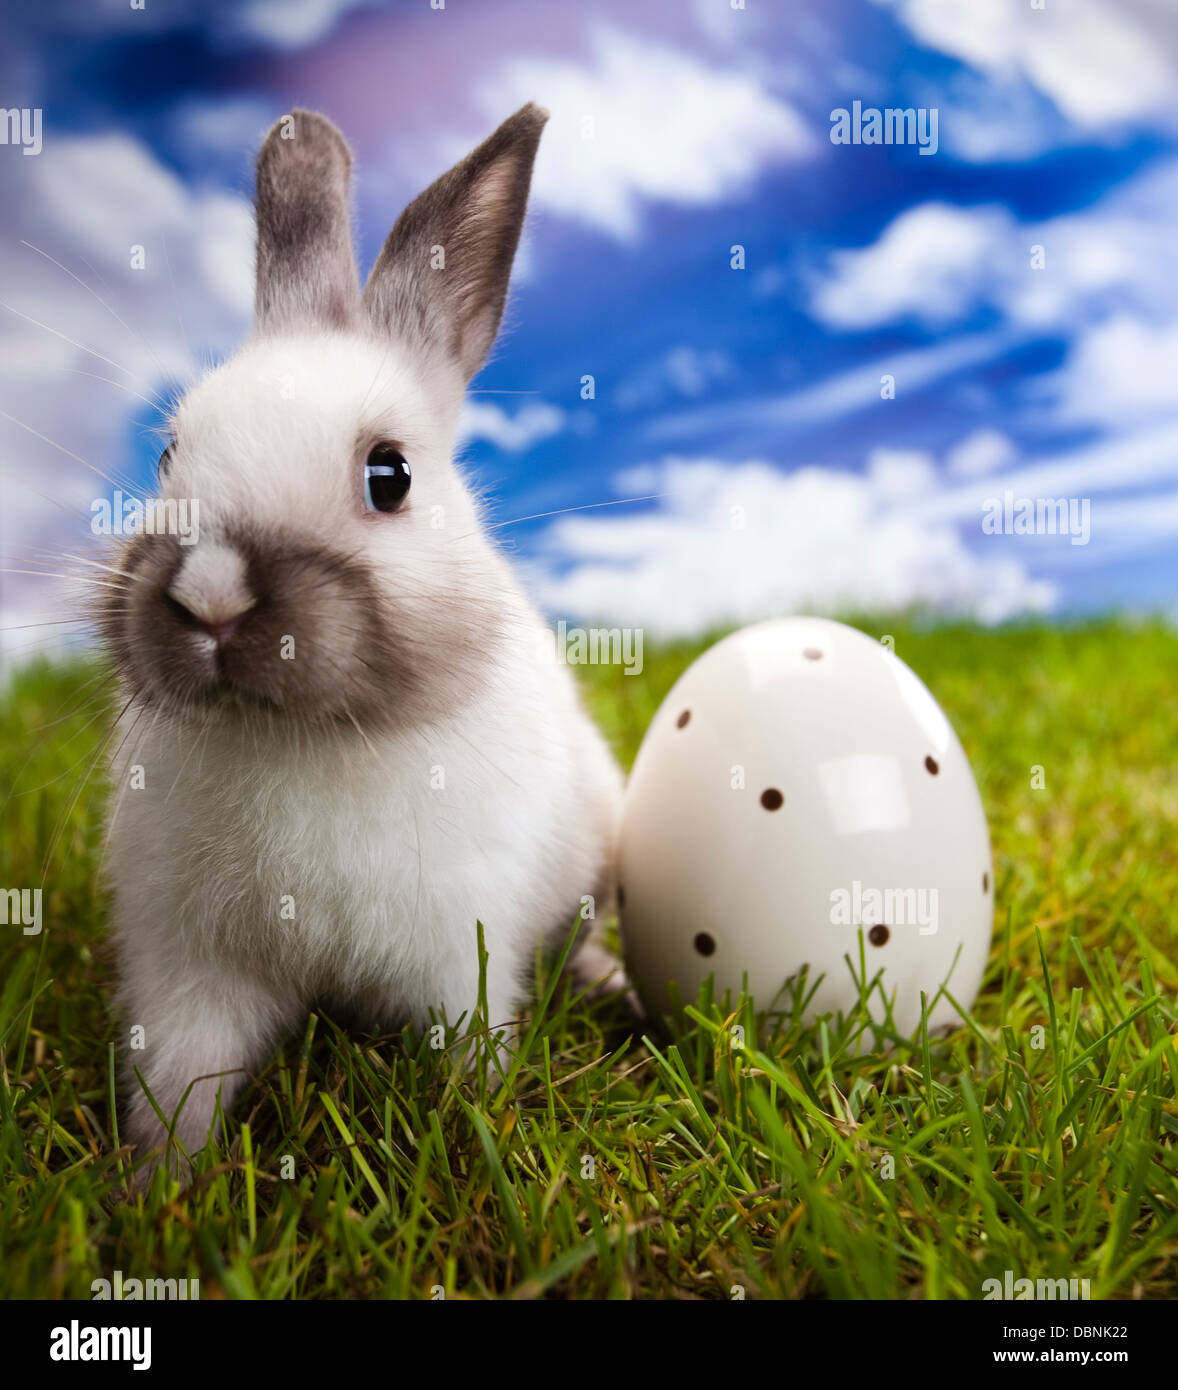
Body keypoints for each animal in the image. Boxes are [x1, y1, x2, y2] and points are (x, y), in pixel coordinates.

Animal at [99, 104, 624, 1176]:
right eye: (167, 454)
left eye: (390, 475)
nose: (211, 597)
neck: (298, 737)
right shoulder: (188, 971)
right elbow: (181, 1084)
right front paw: (158, 1190)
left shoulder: (456, 955)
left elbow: (469, 1053)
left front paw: (481, 1148)